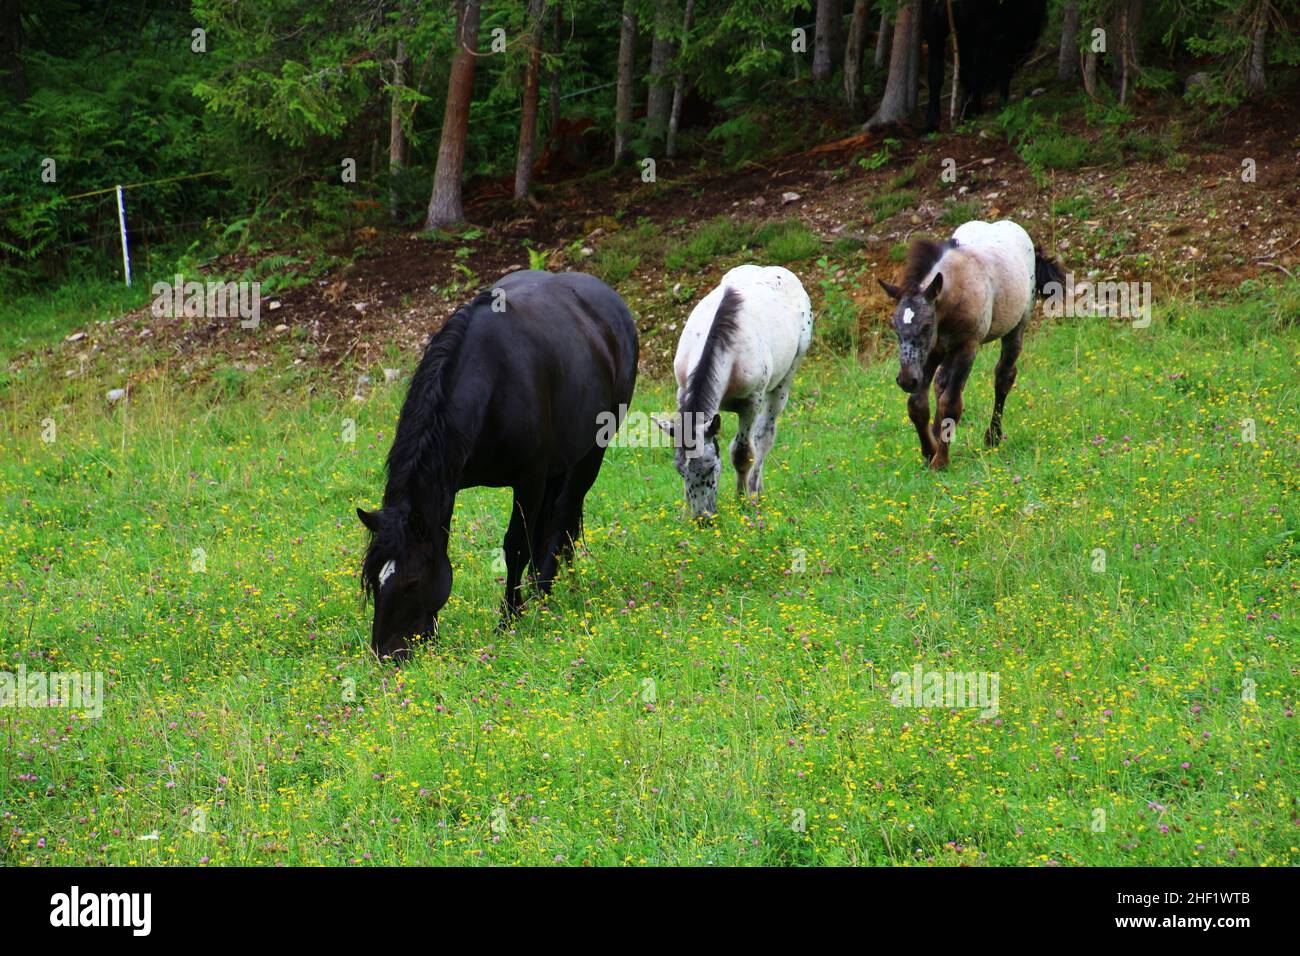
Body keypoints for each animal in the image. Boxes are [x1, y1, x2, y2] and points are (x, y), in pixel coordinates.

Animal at [358, 270, 638, 661]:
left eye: (411, 582)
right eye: (373, 581)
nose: (386, 655)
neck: (492, 383)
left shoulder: (529, 480)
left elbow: (515, 546)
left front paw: (509, 619)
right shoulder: (449, 483)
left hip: (592, 452)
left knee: (563, 513)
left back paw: (543, 588)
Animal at [654, 264, 813, 519]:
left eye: (711, 467)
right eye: (679, 470)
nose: (702, 519)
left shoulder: (751, 402)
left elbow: (742, 453)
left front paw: (741, 501)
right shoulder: (682, 392)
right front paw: (684, 513)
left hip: (784, 380)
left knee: (764, 437)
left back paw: (755, 492)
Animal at [877, 220, 1063, 469]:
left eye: (926, 325)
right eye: (895, 327)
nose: (906, 380)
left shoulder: (967, 347)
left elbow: (951, 404)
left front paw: (940, 461)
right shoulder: (932, 351)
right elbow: (917, 404)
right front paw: (929, 452)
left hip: (1016, 327)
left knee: (1004, 376)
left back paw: (992, 436)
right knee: (941, 382)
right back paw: (937, 432)